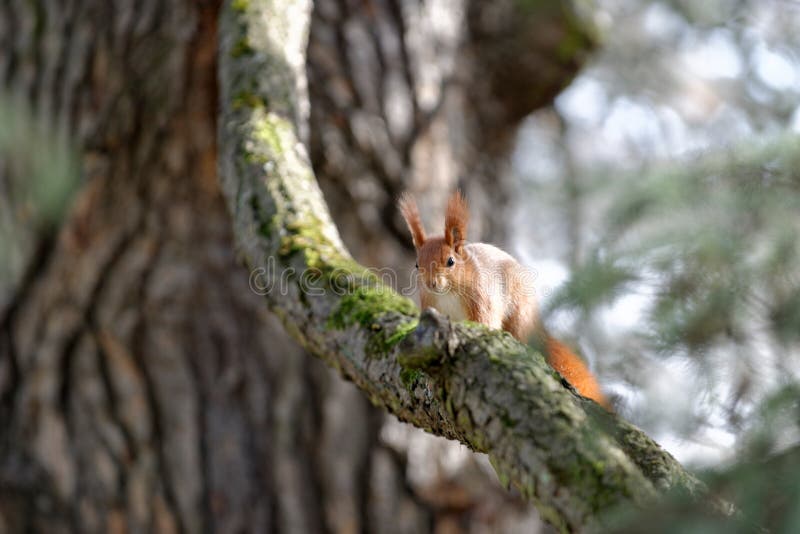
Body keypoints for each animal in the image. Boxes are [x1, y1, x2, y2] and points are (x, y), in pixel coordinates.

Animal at [399, 190, 609, 408]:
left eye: (450, 261)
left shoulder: (481, 298)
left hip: (518, 316)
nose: (432, 283)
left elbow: (484, 321)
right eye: (417, 264)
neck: (447, 293)